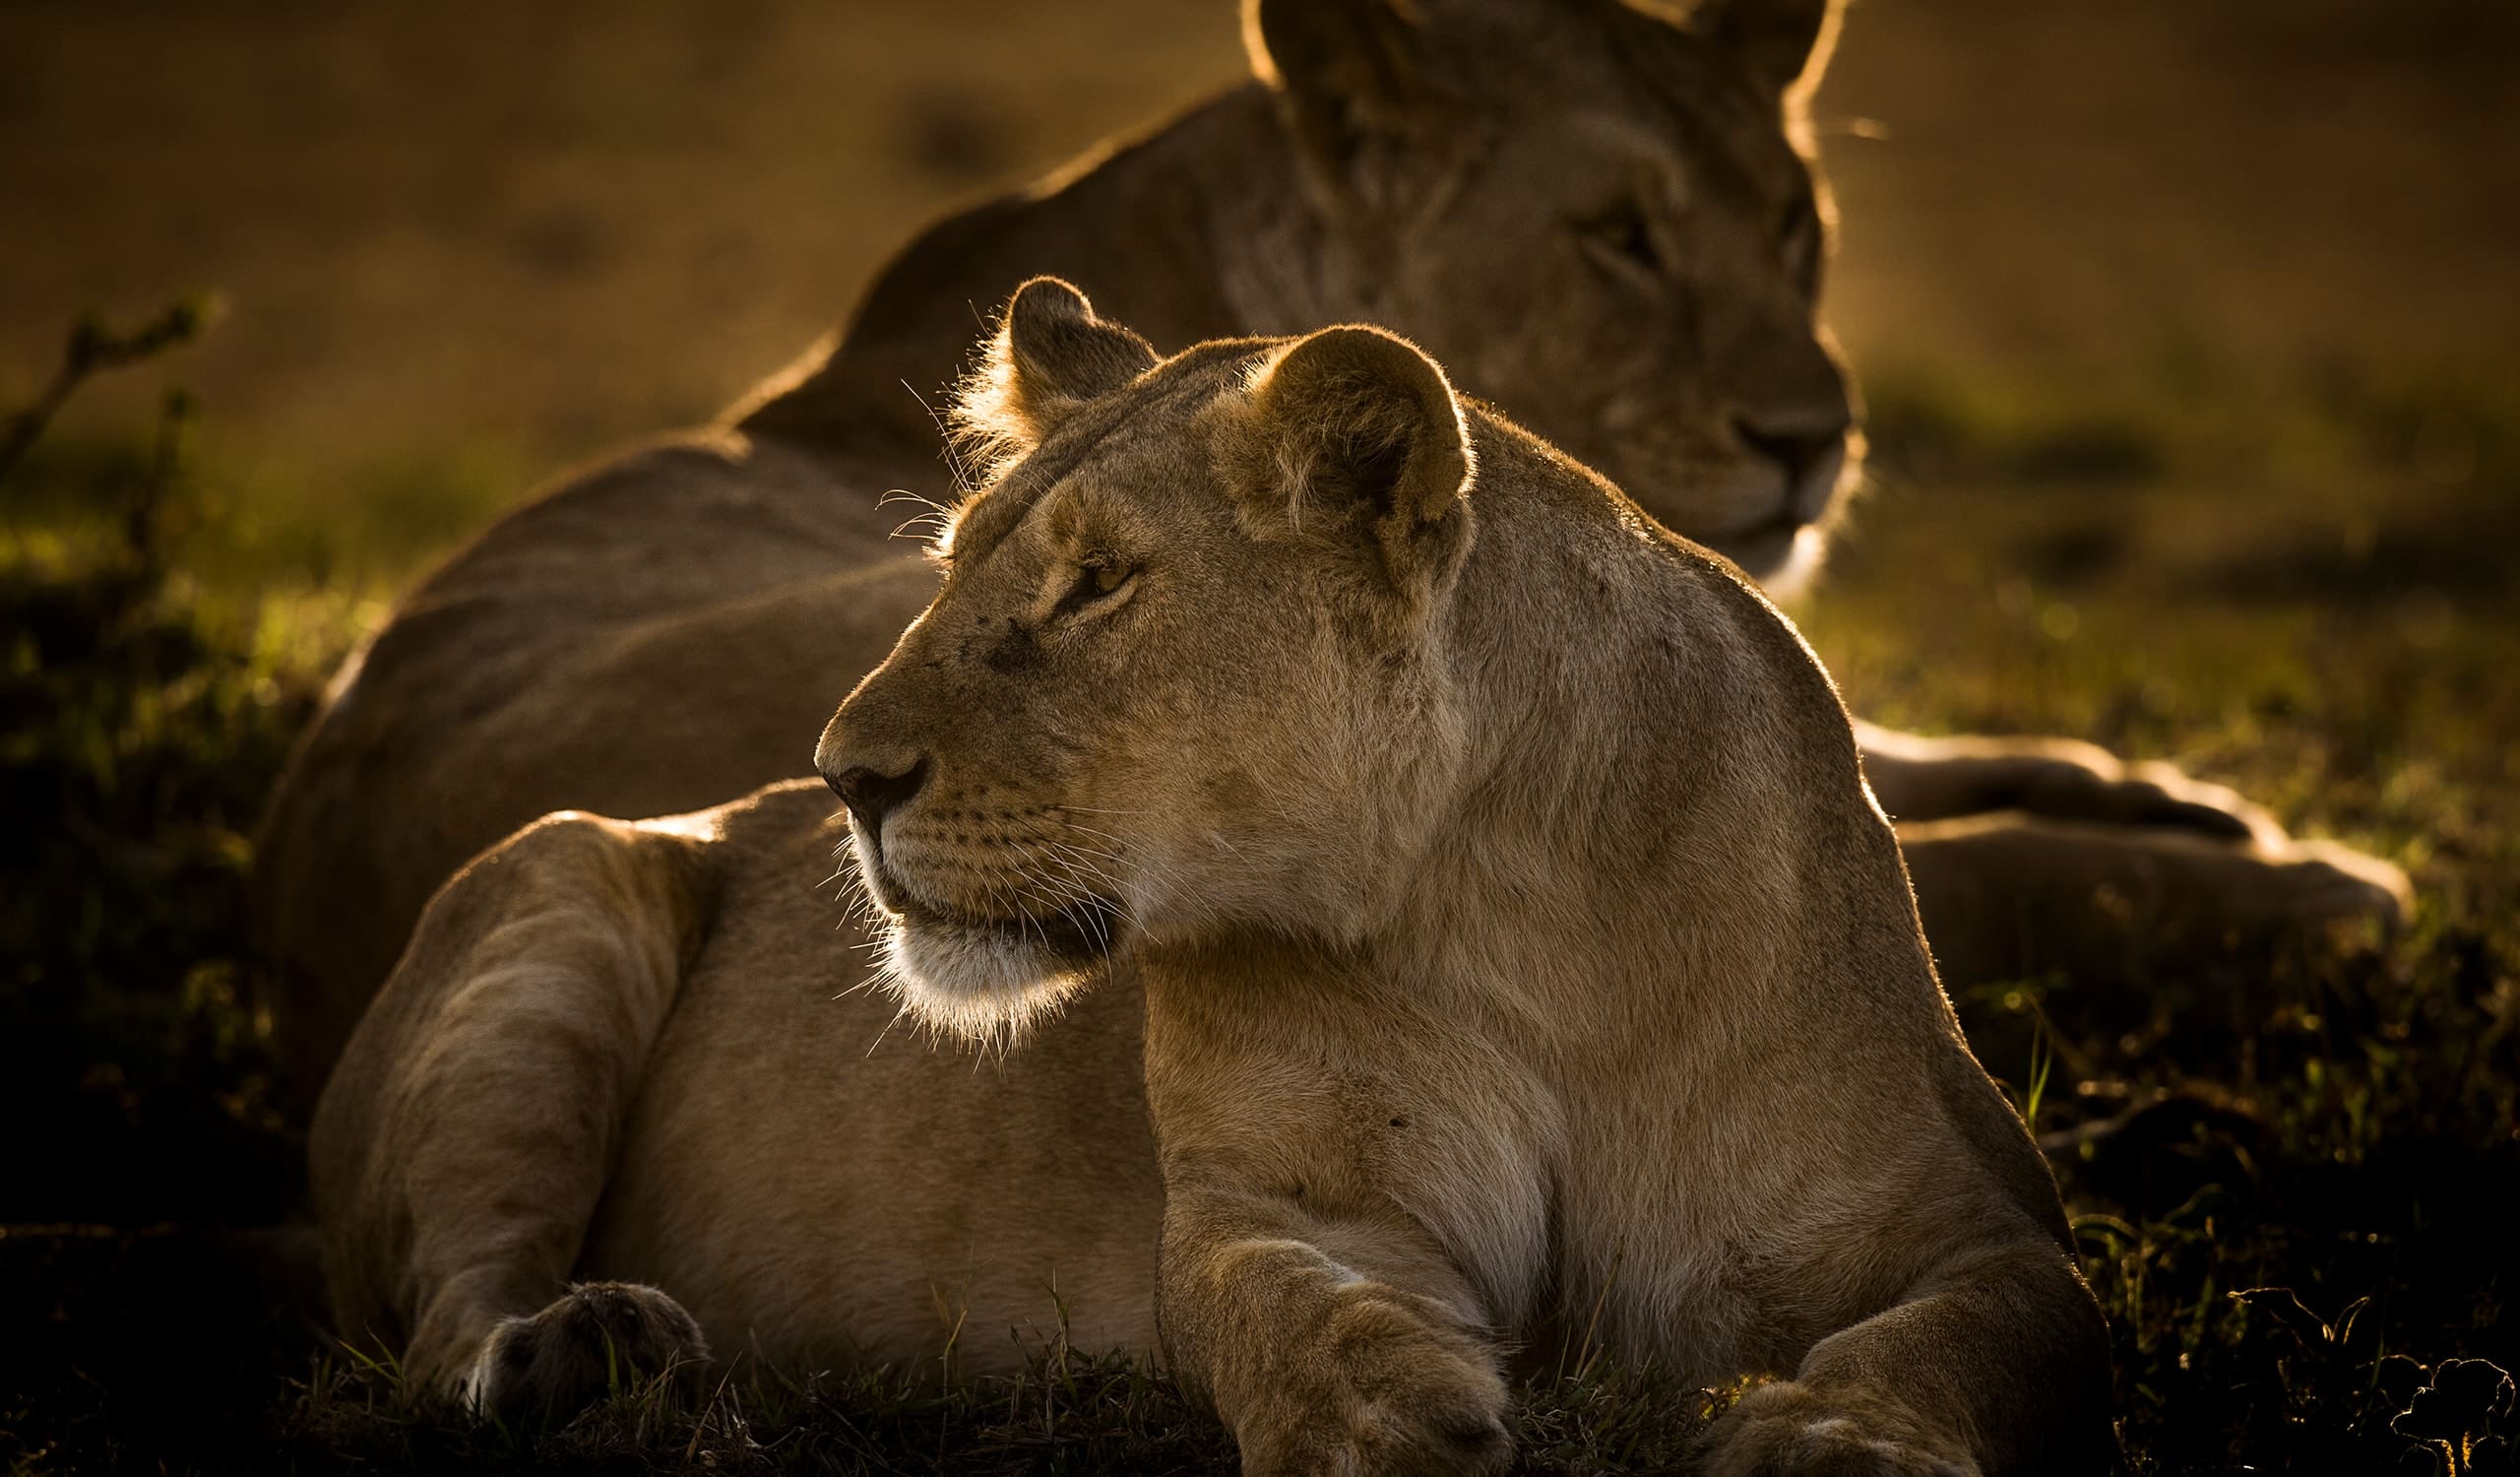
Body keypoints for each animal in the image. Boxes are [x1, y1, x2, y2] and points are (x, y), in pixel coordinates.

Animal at [259, 0, 2403, 1106]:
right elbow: (1919, 829)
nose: (1816, 434)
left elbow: (1896, 739)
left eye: (1793, 224)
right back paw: (2301, 892)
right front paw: (2265, 870)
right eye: (1618, 238)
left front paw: (2163, 784)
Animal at [314, 280, 2113, 1474]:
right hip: (567, 878)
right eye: (955, 563)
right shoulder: (1281, 1203)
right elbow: (1276, 1309)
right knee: (436, 1331)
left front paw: (1833, 1436)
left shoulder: (1975, 1215)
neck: (1526, 918)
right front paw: (1392, 1419)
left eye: (1097, 585)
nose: (840, 777)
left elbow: (1991, 1326)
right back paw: (590, 1356)